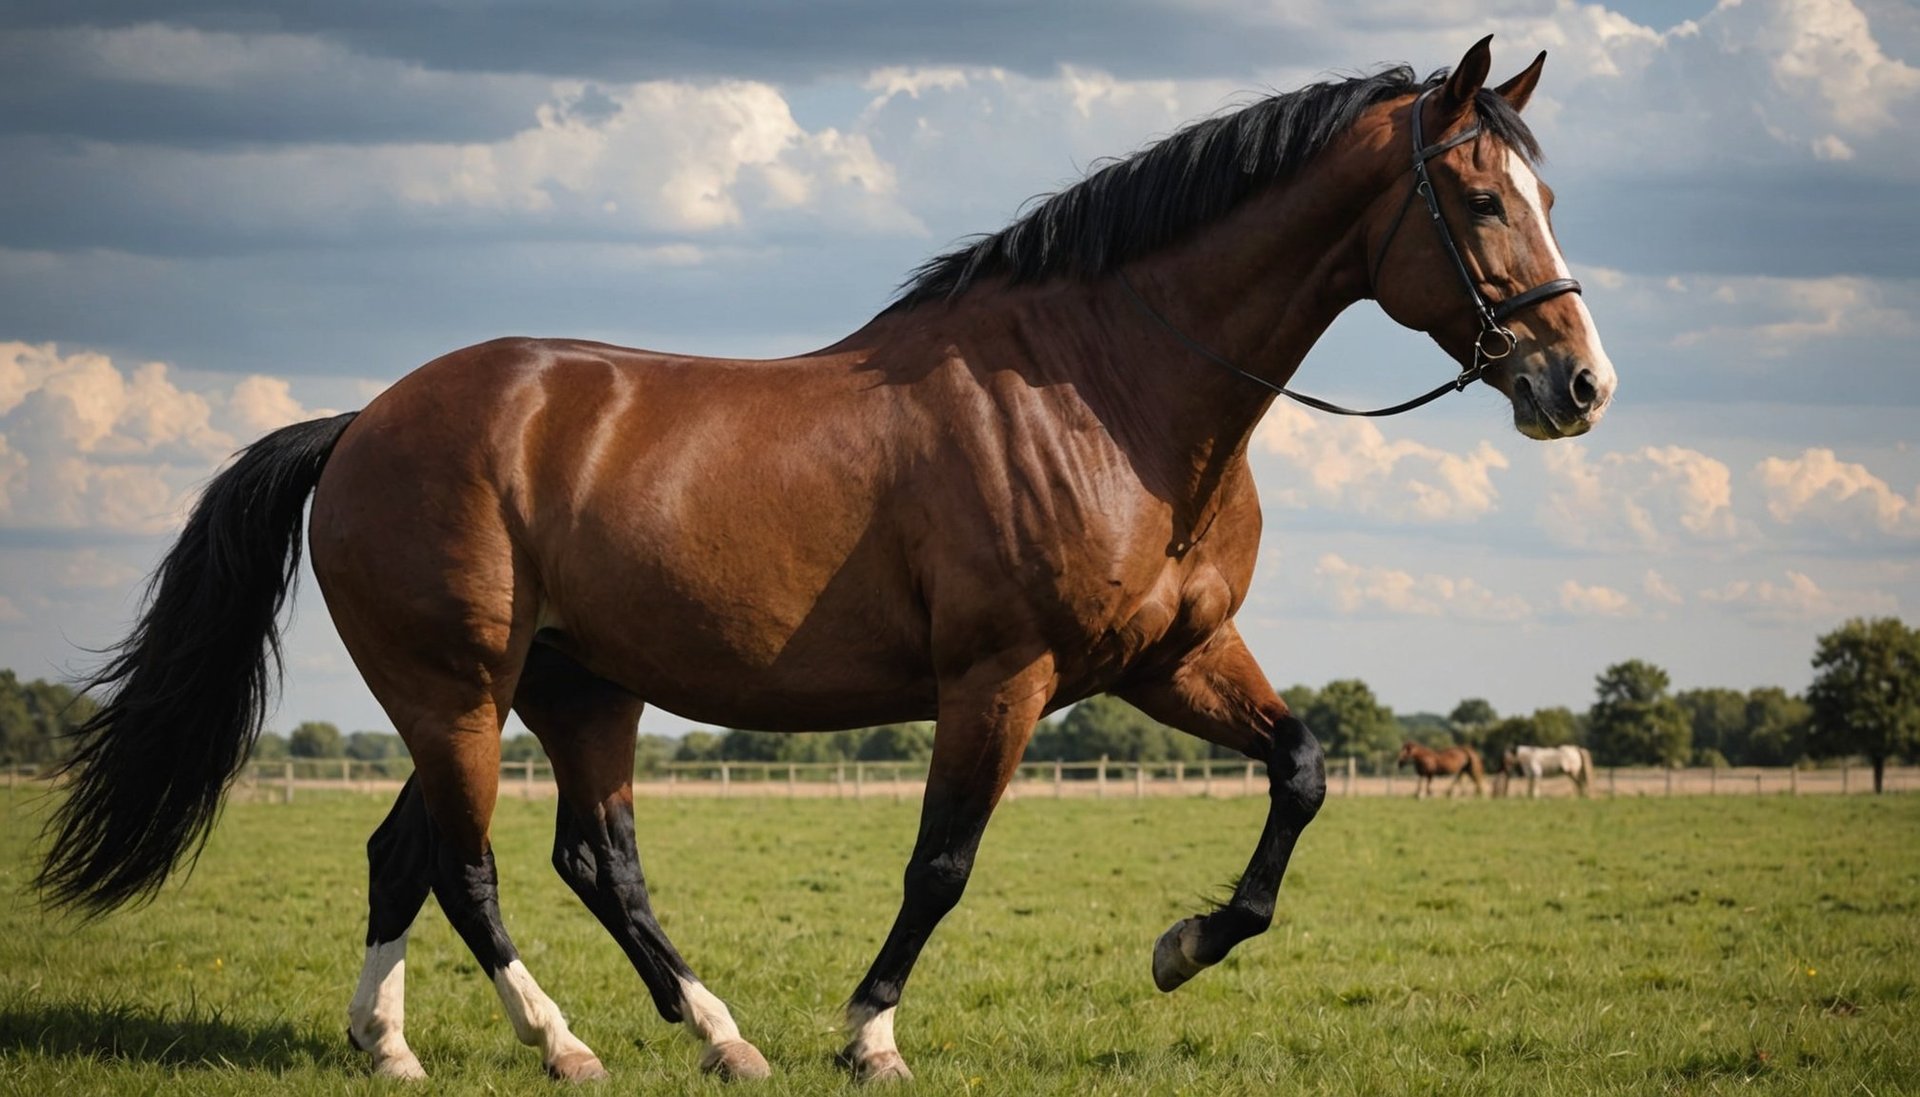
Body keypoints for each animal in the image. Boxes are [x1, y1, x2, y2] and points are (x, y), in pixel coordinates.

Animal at [38, 38, 1614, 1083]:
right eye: (1481, 200)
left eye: (1549, 199)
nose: (1580, 384)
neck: (1111, 389)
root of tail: (363, 421)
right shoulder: (1001, 679)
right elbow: (943, 863)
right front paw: (871, 1031)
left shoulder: (1170, 659)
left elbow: (1303, 771)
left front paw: (1182, 944)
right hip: (457, 692)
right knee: (474, 868)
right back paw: (561, 1044)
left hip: (563, 690)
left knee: (532, 856)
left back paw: (537, 1040)